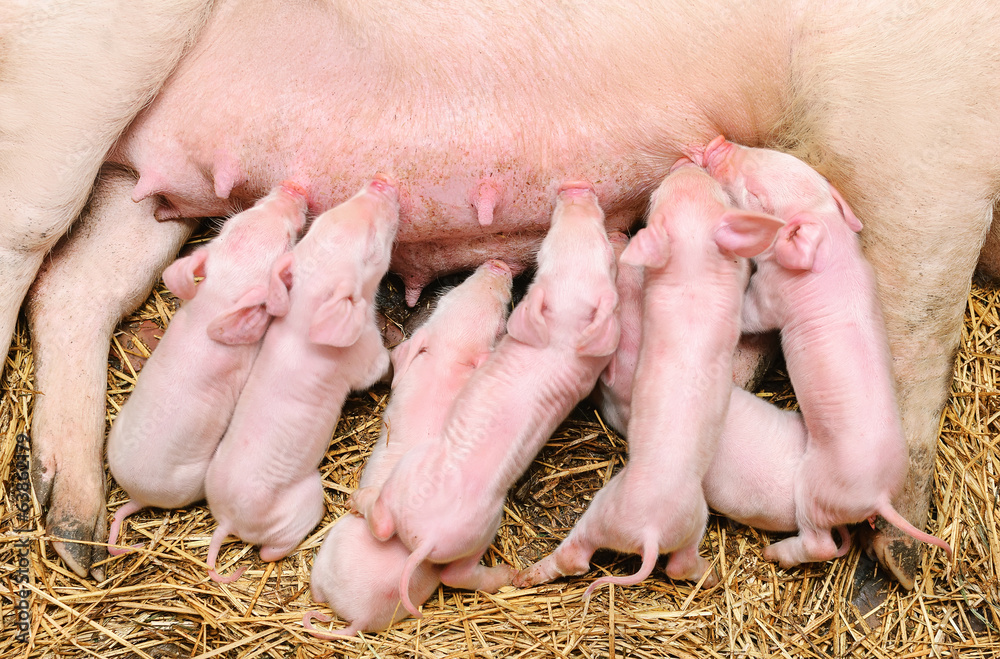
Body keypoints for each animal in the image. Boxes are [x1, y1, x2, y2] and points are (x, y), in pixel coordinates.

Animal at [105, 183, 307, 555]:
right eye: (288, 243)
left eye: (236, 220)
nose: (292, 188)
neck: (221, 297)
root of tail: (136, 495)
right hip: (194, 481)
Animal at [202, 177, 399, 582]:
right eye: (373, 248)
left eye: (327, 215)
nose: (380, 181)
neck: (306, 311)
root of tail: (226, 520)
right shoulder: (361, 354)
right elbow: (377, 367)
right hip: (305, 502)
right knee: (269, 552)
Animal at [356, 183, 621, 617]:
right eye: (548, 248)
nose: (577, 189)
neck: (563, 328)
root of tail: (423, 538)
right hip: (481, 531)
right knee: (457, 575)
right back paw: (508, 575)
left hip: (405, 477)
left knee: (380, 521)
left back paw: (357, 501)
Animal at [514, 164, 783, 595]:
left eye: (655, 201)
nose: (686, 164)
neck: (692, 270)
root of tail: (651, 533)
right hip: (689, 520)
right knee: (672, 565)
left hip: (617, 509)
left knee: (581, 556)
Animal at [696, 138, 952, 571]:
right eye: (776, 156)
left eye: (755, 196)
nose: (718, 144)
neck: (827, 230)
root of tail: (878, 496)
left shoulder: (773, 295)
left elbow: (751, 316)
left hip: (813, 490)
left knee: (820, 544)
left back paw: (772, 553)